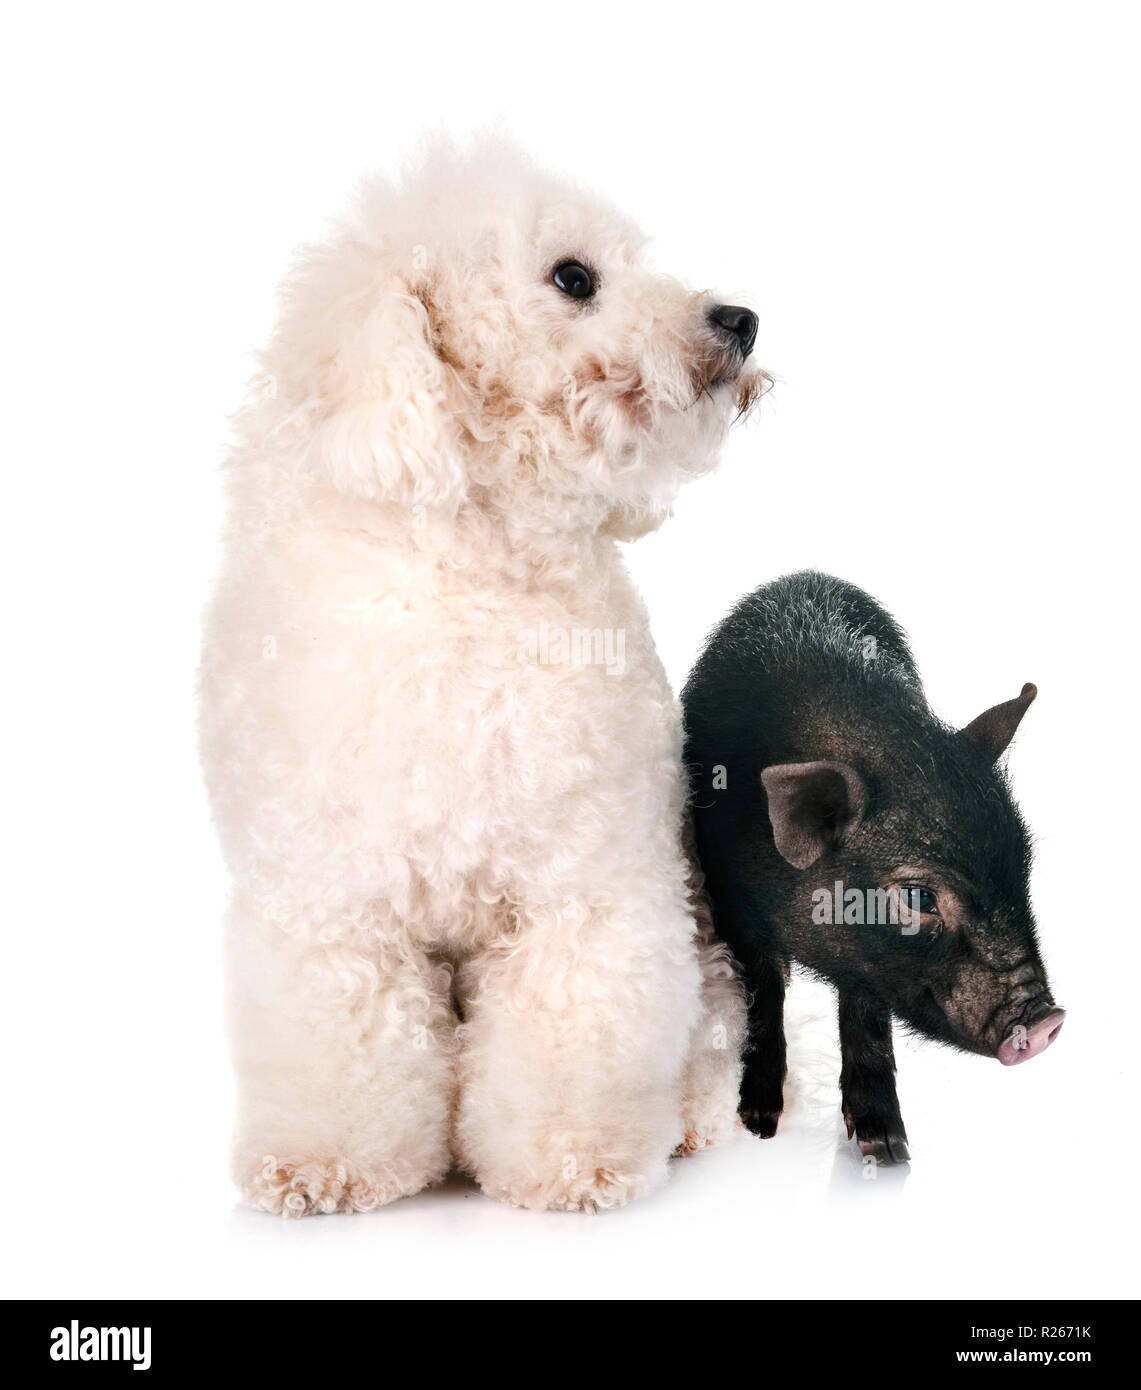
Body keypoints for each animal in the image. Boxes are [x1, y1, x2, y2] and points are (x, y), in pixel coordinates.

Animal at [681, 570, 1063, 1163]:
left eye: (1022, 869)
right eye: (919, 898)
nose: (1048, 1021)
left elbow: (866, 1008)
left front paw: (886, 1151)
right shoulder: (730, 896)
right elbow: (762, 991)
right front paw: (758, 1124)